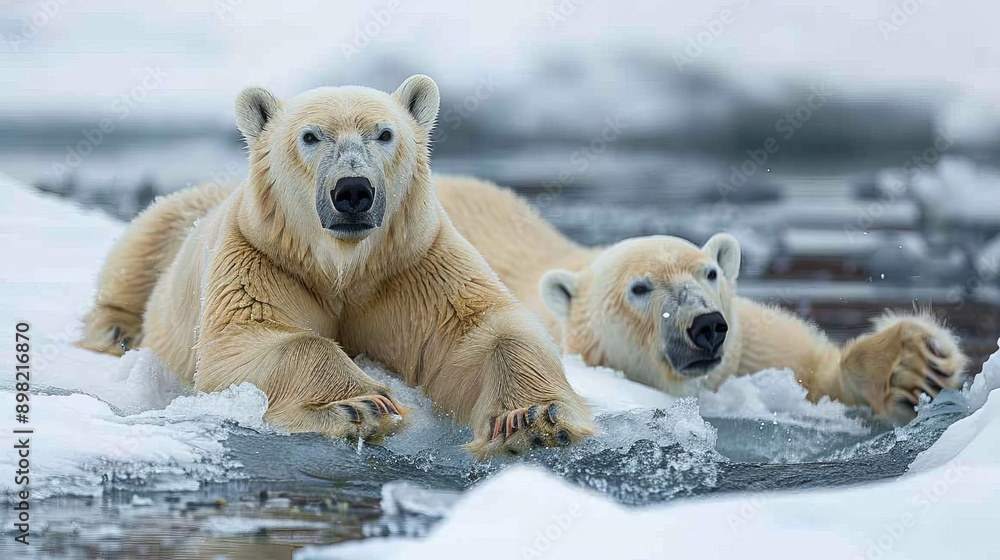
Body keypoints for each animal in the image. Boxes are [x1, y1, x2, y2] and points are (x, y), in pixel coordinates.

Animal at [77, 76, 596, 458]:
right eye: (310, 136)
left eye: (384, 133)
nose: (353, 190)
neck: (345, 267)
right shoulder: (261, 257)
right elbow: (243, 345)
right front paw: (361, 405)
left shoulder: (414, 264)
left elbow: (481, 333)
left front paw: (529, 419)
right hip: (180, 222)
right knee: (141, 248)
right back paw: (115, 331)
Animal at [434, 176, 968, 424]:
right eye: (640, 288)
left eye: (709, 272)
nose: (706, 325)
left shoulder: (753, 351)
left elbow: (816, 375)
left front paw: (913, 366)